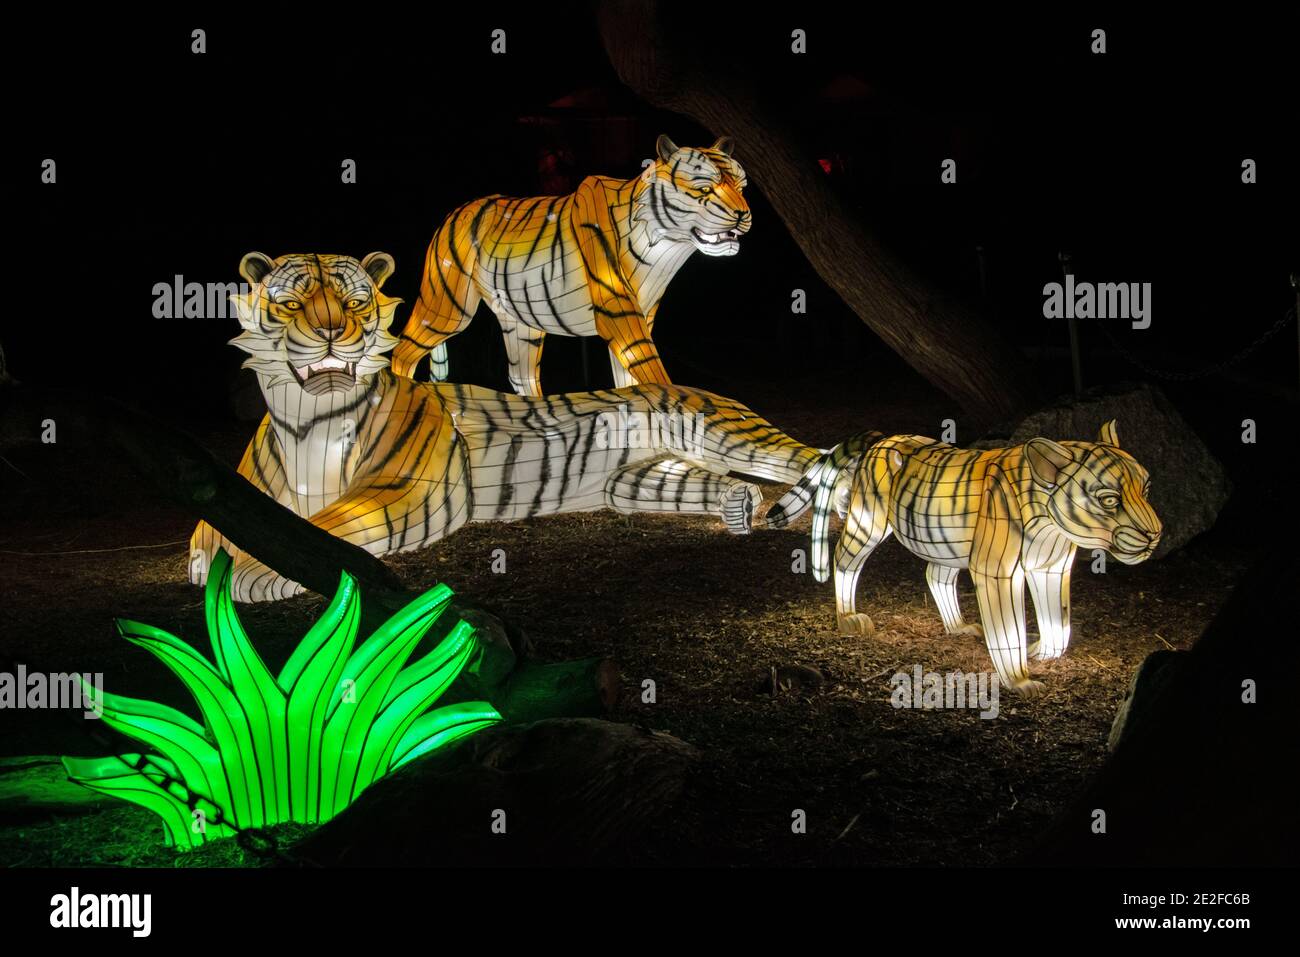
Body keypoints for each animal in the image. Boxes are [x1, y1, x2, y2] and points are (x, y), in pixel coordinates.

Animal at [189, 251, 819, 602]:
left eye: (354, 302)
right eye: (294, 303)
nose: (328, 332)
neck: (305, 419)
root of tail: (699, 386)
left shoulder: (409, 492)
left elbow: (319, 529)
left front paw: (260, 573)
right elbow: (204, 533)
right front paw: (209, 557)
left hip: (726, 431)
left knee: (811, 457)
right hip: (635, 480)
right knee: (726, 487)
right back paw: (740, 508)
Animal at [389, 135, 751, 396]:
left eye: (741, 187)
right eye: (704, 188)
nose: (743, 214)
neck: (665, 245)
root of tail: (453, 213)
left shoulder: (642, 316)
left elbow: (633, 384)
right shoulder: (620, 314)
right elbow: (655, 374)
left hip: (521, 322)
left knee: (521, 377)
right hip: (447, 308)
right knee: (401, 352)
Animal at [770, 424, 1162, 696]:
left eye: (1146, 489)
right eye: (1109, 499)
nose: (1154, 534)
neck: (1051, 525)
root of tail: (882, 439)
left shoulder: (1050, 567)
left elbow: (1058, 619)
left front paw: (1046, 651)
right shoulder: (997, 571)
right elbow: (1009, 631)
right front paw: (1020, 680)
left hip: (945, 542)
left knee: (935, 574)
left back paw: (957, 627)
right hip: (869, 524)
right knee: (845, 560)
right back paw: (848, 619)